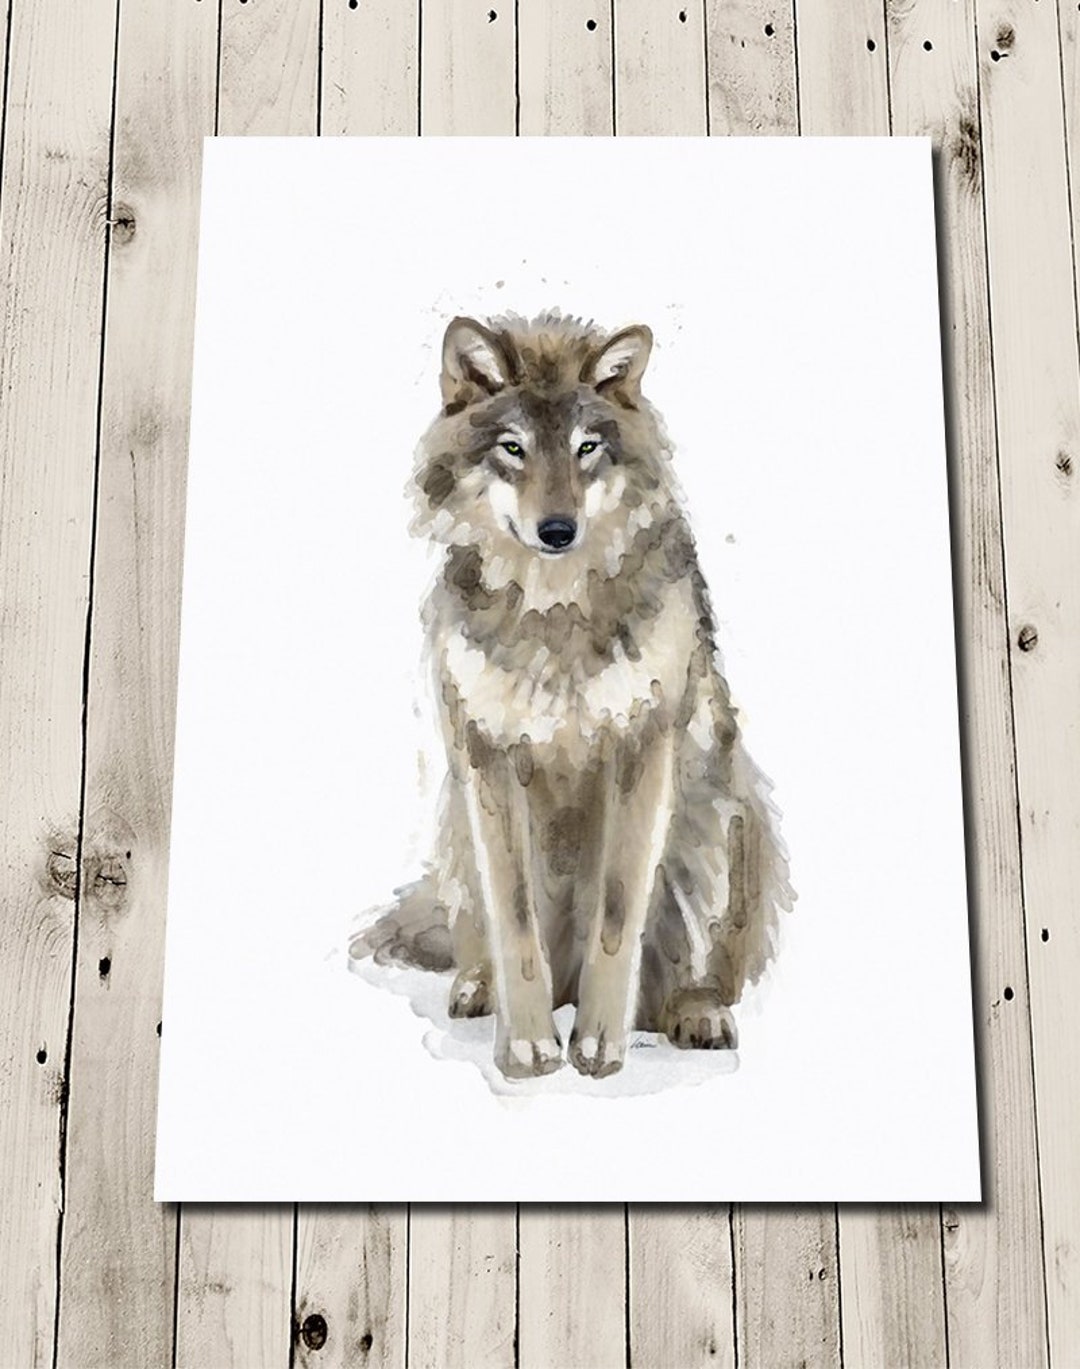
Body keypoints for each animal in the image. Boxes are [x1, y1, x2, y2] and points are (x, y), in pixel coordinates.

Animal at [349, 310, 793, 1080]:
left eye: (587, 447)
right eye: (513, 448)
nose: (557, 530)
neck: (553, 609)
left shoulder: (643, 746)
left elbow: (617, 915)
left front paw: (598, 1046)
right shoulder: (486, 757)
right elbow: (514, 917)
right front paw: (528, 1048)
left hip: (723, 816)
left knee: (694, 972)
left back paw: (696, 1012)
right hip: (455, 827)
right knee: (484, 938)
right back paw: (478, 987)